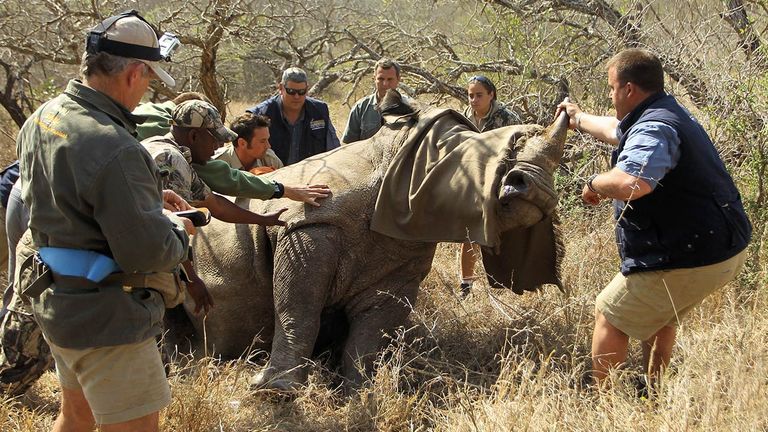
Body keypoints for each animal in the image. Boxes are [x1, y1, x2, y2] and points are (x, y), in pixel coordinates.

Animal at [179, 91, 567, 391]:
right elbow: (297, 308)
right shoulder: (309, 224)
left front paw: (362, 389)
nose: (539, 190)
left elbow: (372, 331)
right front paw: (275, 391)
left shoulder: (402, 255)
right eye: (465, 160)